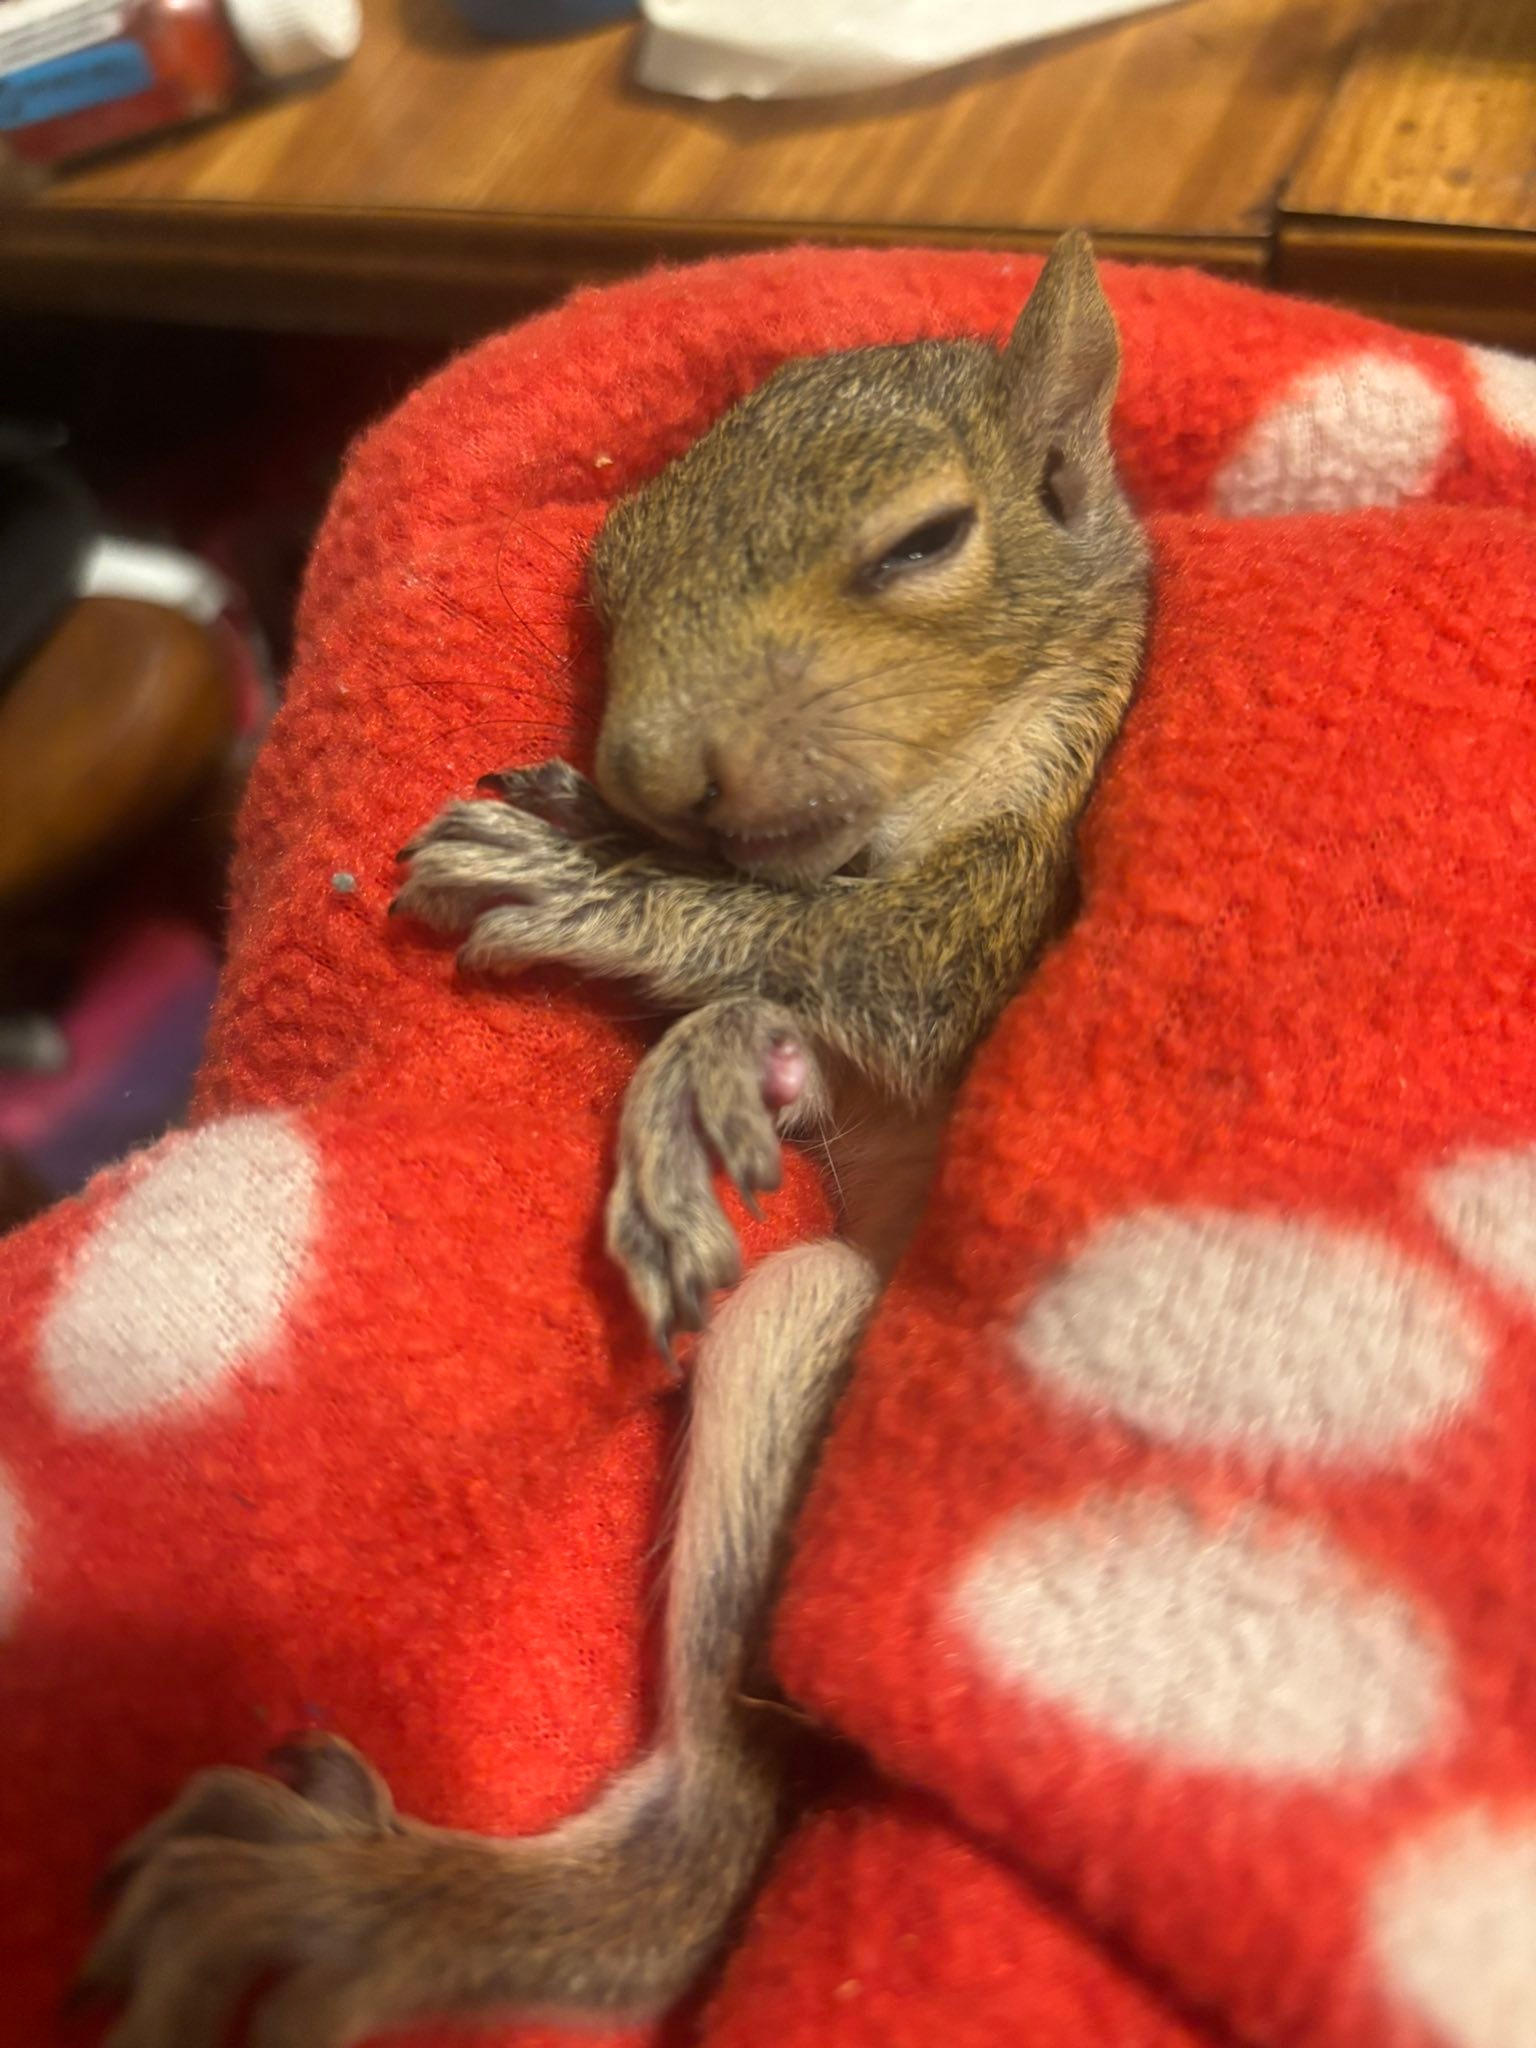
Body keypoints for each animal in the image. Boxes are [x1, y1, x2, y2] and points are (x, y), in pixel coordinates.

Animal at [80, 232, 1151, 2046]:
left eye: (925, 541)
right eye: (611, 563)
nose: (644, 769)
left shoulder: (1013, 908)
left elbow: (855, 958)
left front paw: (603, 900)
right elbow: (800, 1016)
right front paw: (648, 935)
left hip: (815, 1356)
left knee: (694, 1852)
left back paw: (365, 1907)